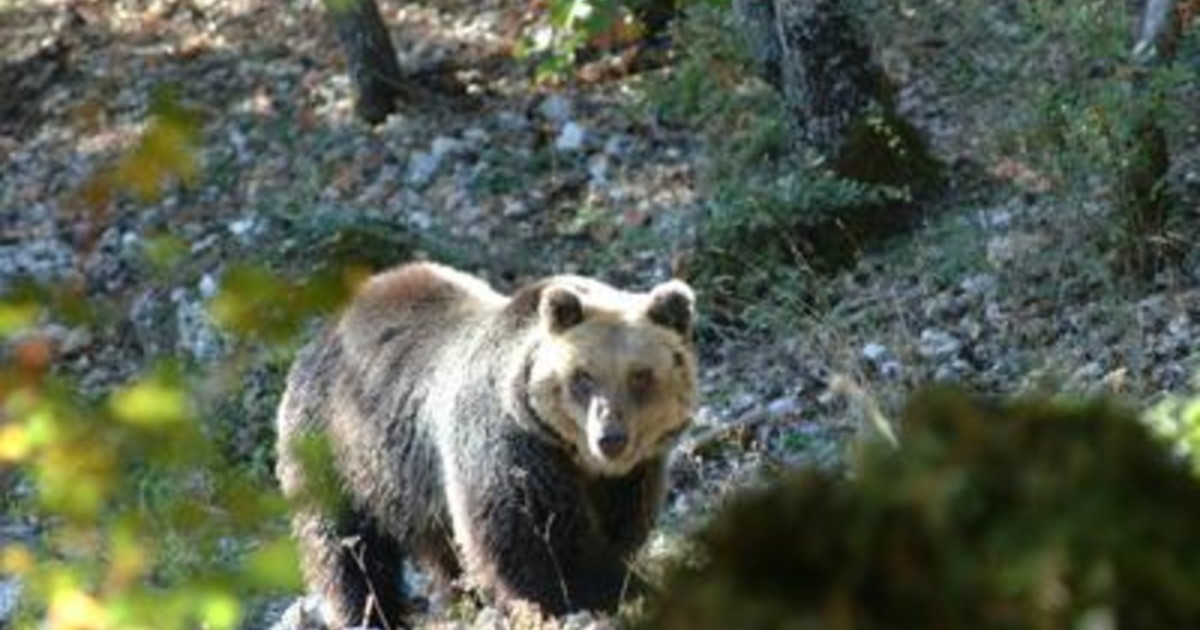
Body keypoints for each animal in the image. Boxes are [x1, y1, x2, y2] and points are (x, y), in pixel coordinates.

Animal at [274, 262, 698, 629]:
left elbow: (621, 527)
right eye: (583, 377)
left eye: (640, 375)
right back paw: (368, 613)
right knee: (345, 546)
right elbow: (537, 541)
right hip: (338, 448)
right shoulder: (509, 443)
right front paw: (620, 592)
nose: (610, 438)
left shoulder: (632, 474)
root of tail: (326, 327)